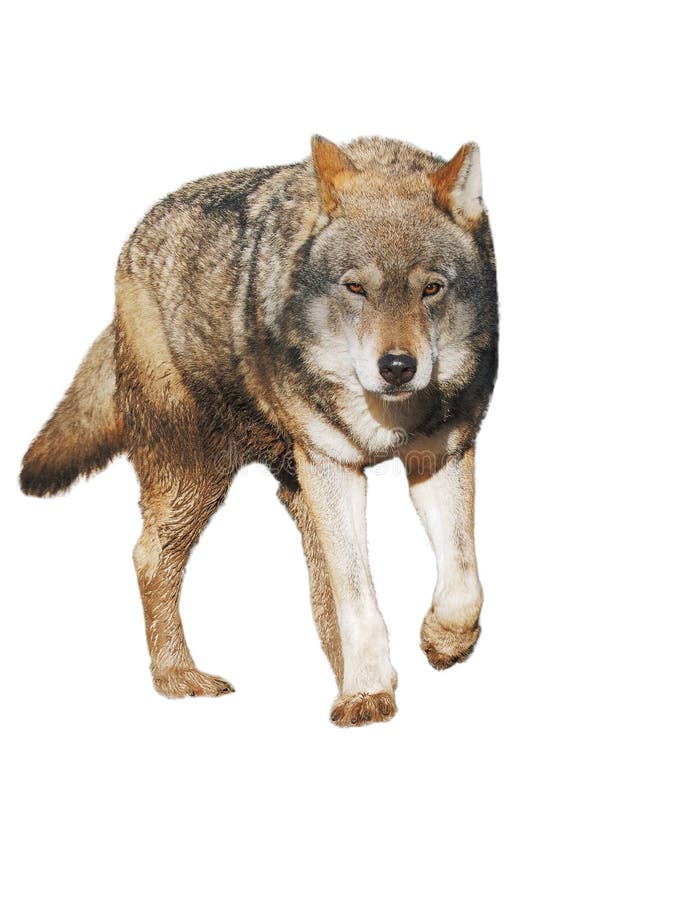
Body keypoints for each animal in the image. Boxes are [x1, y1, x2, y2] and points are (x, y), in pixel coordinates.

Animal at [20, 135, 498, 727]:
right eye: (356, 288)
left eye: (431, 288)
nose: (397, 368)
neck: (388, 418)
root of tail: (134, 240)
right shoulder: (333, 465)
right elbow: (358, 598)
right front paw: (367, 695)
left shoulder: (441, 456)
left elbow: (463, 583)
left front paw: (441, 644)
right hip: (199, 477)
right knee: (148, 557)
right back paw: (179, 678)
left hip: (290, 489)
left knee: (319, 592)